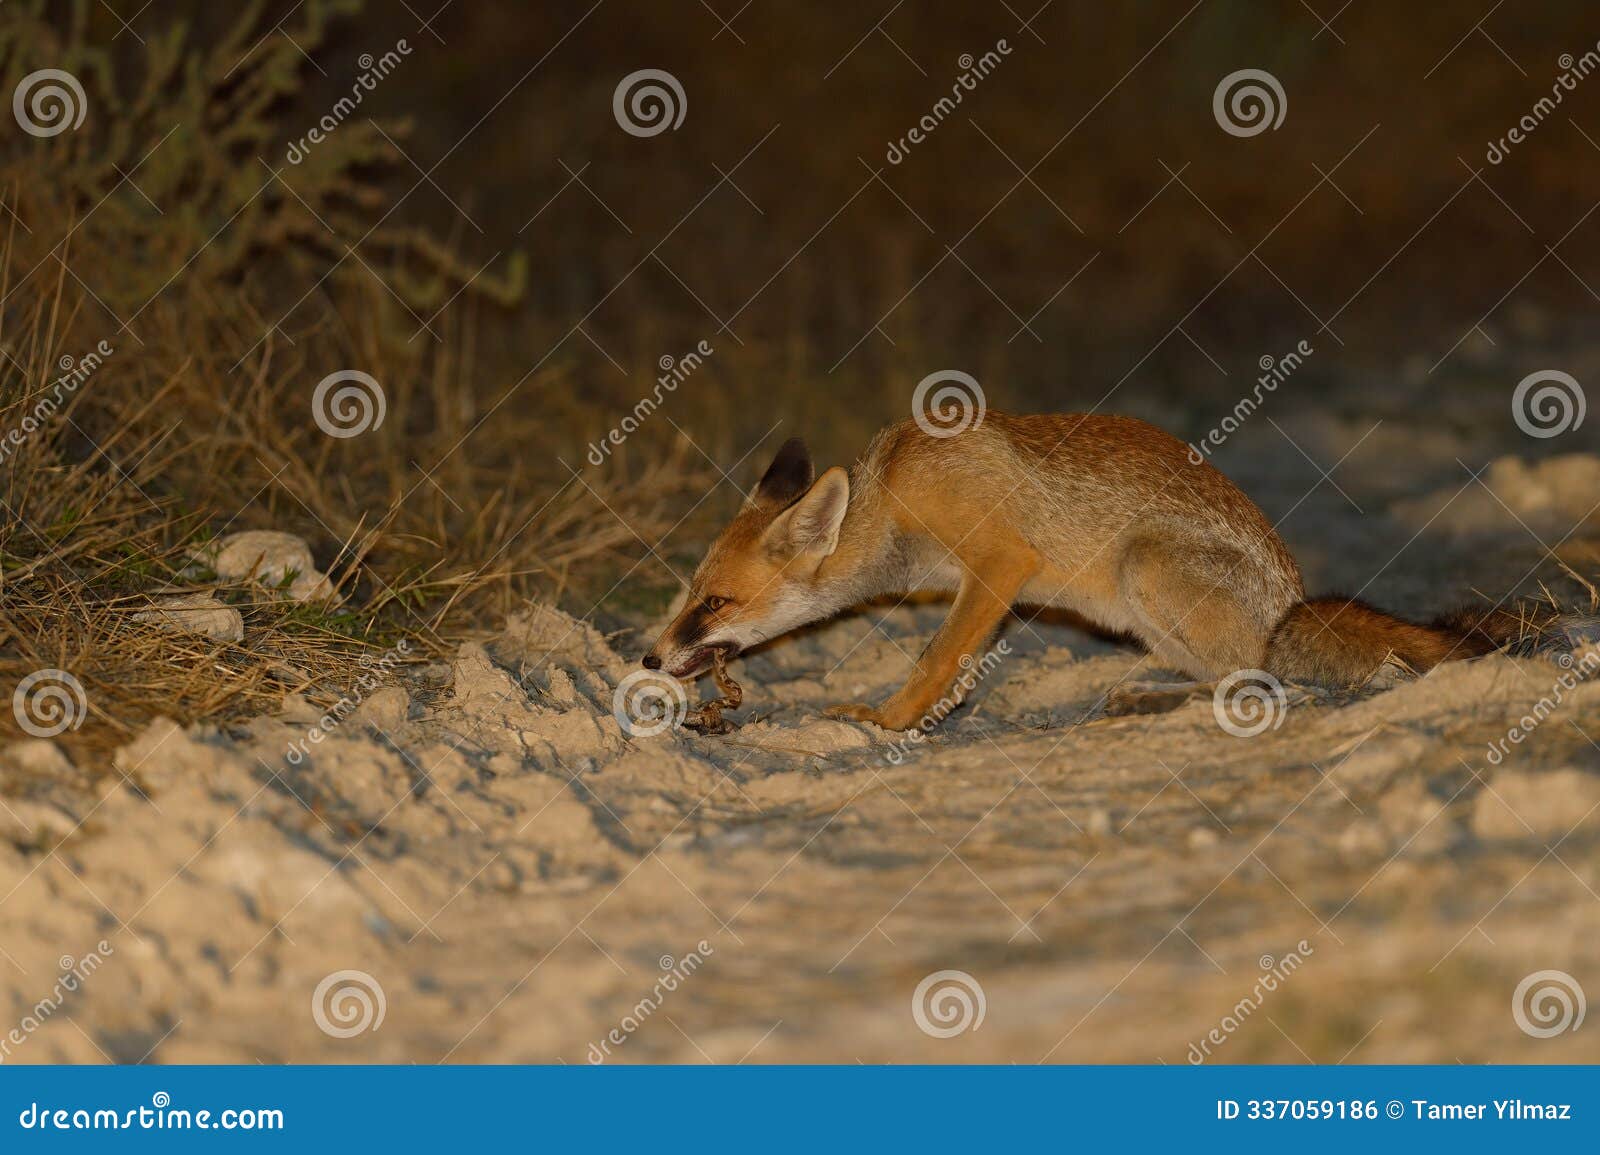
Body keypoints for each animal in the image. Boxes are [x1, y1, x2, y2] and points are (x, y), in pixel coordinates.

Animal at [643, 412, 1591, 733]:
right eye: (686, 596)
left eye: (715, 600)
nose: (650, 657)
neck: (896, 492)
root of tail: (1287, 604)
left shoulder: (1000, 560)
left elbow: (937, 654)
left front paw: (889, 719)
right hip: (1140, 610)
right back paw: (1138, 690)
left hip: (1145, 567)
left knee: (1259, 683)